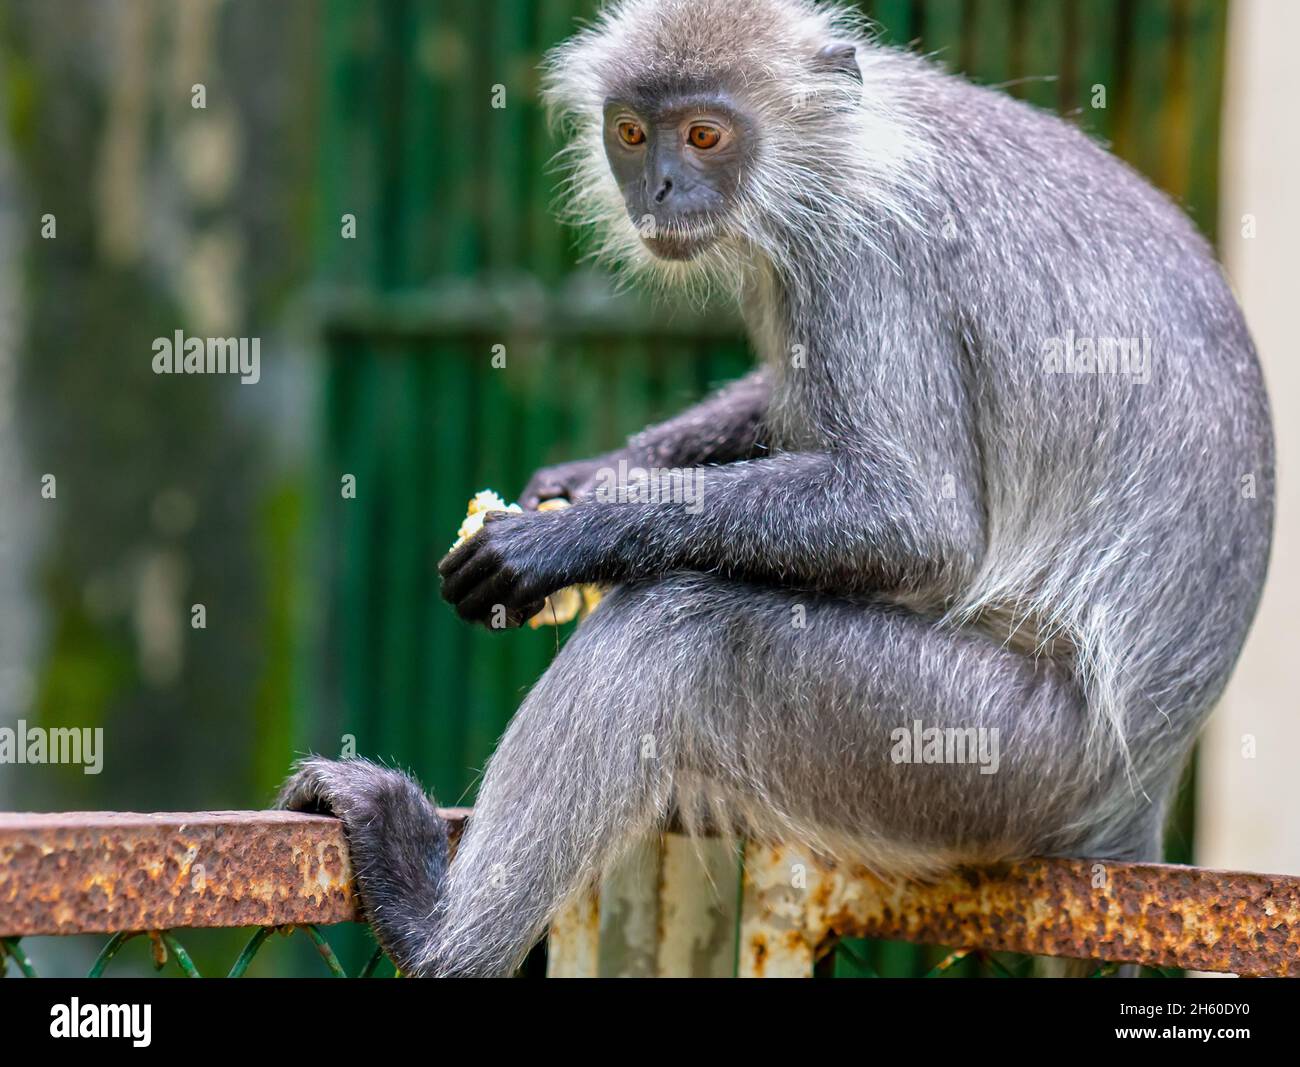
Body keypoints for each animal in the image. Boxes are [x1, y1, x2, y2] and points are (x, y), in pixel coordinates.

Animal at [278, 0, 1274, 977]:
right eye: (633, 134)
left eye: (706, 135)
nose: (659, 188)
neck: (846, 143)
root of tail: (1137, 792)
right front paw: (589, 481)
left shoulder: (868, 255)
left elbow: (917, 519)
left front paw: (560, 539)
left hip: (989, 756)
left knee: (675, 630)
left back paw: (436, 937)